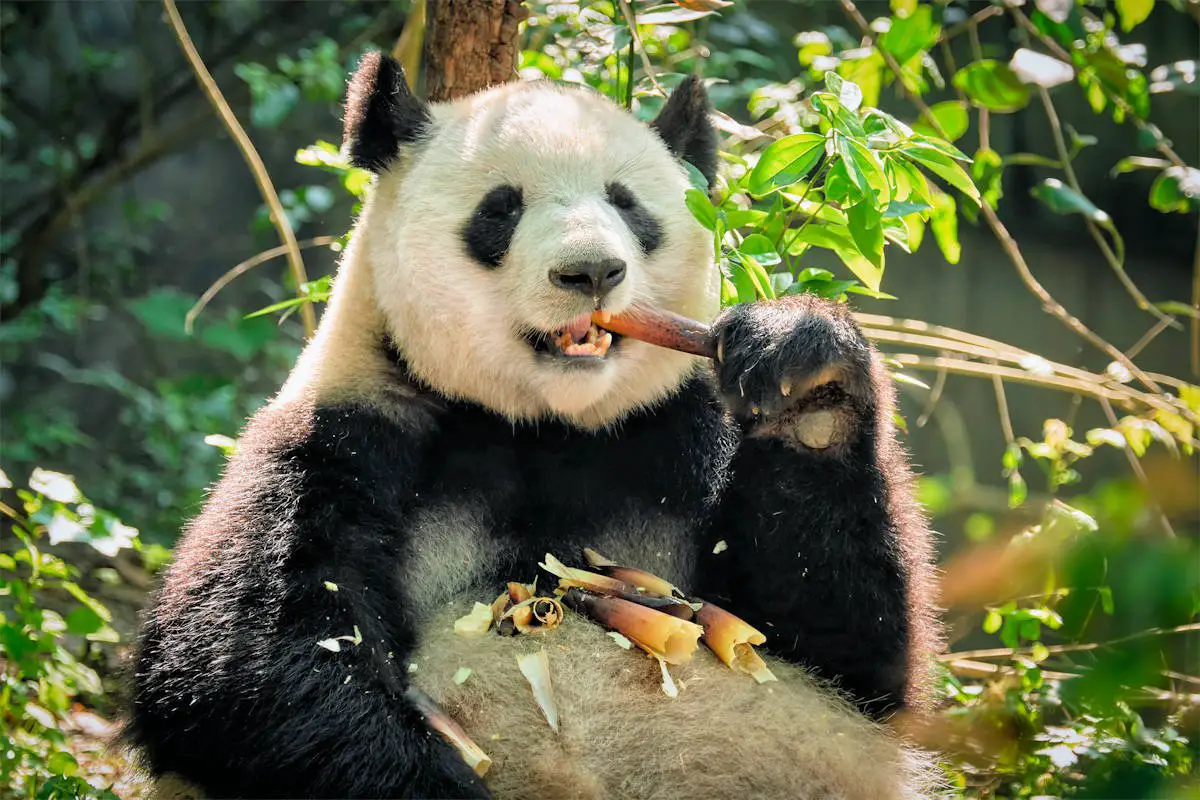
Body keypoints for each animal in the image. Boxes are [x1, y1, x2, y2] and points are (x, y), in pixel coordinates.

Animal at [125, 51, 943, 799]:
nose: (591, 273)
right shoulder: (346, 434)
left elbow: (842, 651)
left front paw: (804, 376)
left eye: (628, 205)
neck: (544, 423)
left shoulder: (681, 429)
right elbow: (248, 666)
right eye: (502, 208)